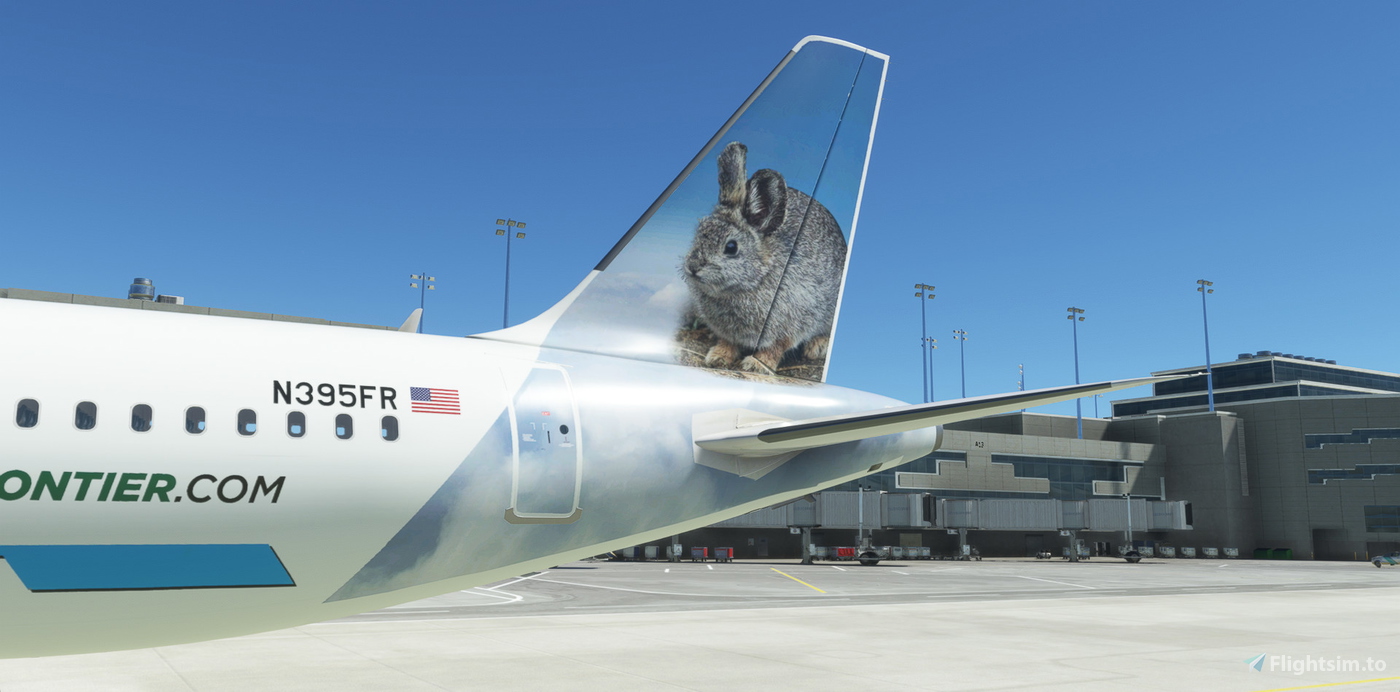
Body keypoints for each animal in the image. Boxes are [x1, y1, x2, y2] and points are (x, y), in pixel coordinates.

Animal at [681, 141, 848, 375]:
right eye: (700, 231)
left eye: (731, 247)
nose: (693, 267)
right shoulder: (728, 332)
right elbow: (728, 342)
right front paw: (718, 357)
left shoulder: (789, 326)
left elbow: (775, 347)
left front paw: (757, 365)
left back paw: (817, 347)